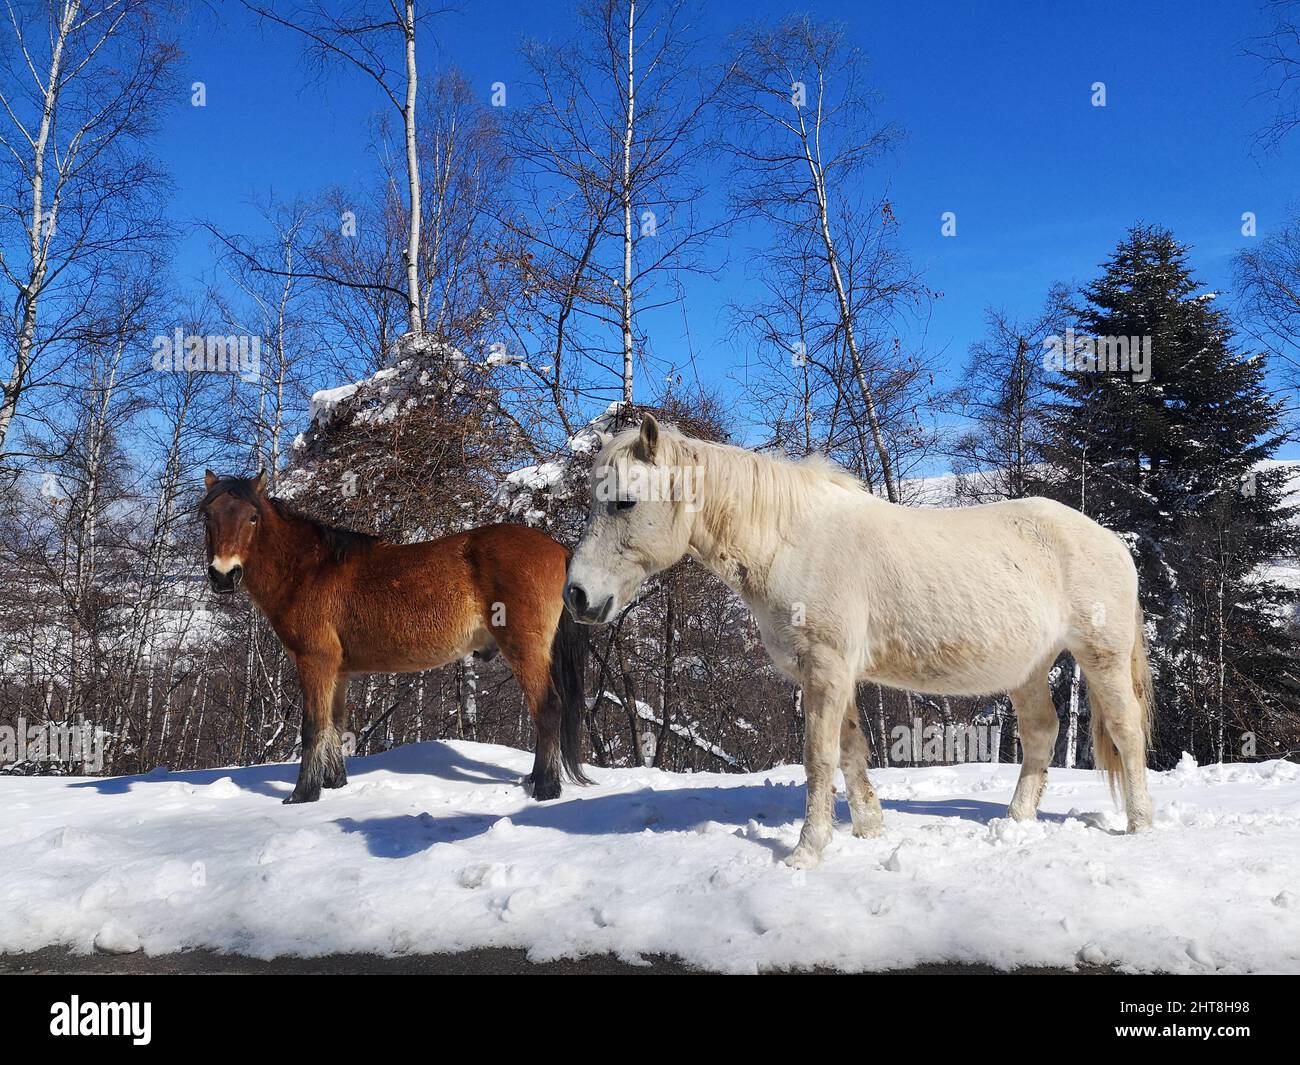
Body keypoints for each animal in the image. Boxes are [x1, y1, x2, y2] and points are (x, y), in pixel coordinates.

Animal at [199, 471, 590, 804]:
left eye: (252, 517)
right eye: (208, 516)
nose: (223, 575)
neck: (308, 569)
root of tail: (557, 549)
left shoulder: (314, 660)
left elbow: (313, 726)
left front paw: (303, 794)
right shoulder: (338, 670)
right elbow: (334, 725)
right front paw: (334, 783)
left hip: (524, 649)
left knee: (547, 708)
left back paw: (546, 788)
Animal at [563, 415, 1154, 867]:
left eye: (624, 501)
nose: (577, 595)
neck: (792, 541)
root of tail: (1112, 542)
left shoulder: (826, 667)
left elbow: (819, 757)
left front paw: (807, 852)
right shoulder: (830, 672)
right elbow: (850, 751)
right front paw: (869, 828)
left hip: (1100, 657)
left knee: (1126, 732)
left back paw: (1140, 825)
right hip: (1027, 669)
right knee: (1040, 733)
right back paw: (1017, 820)